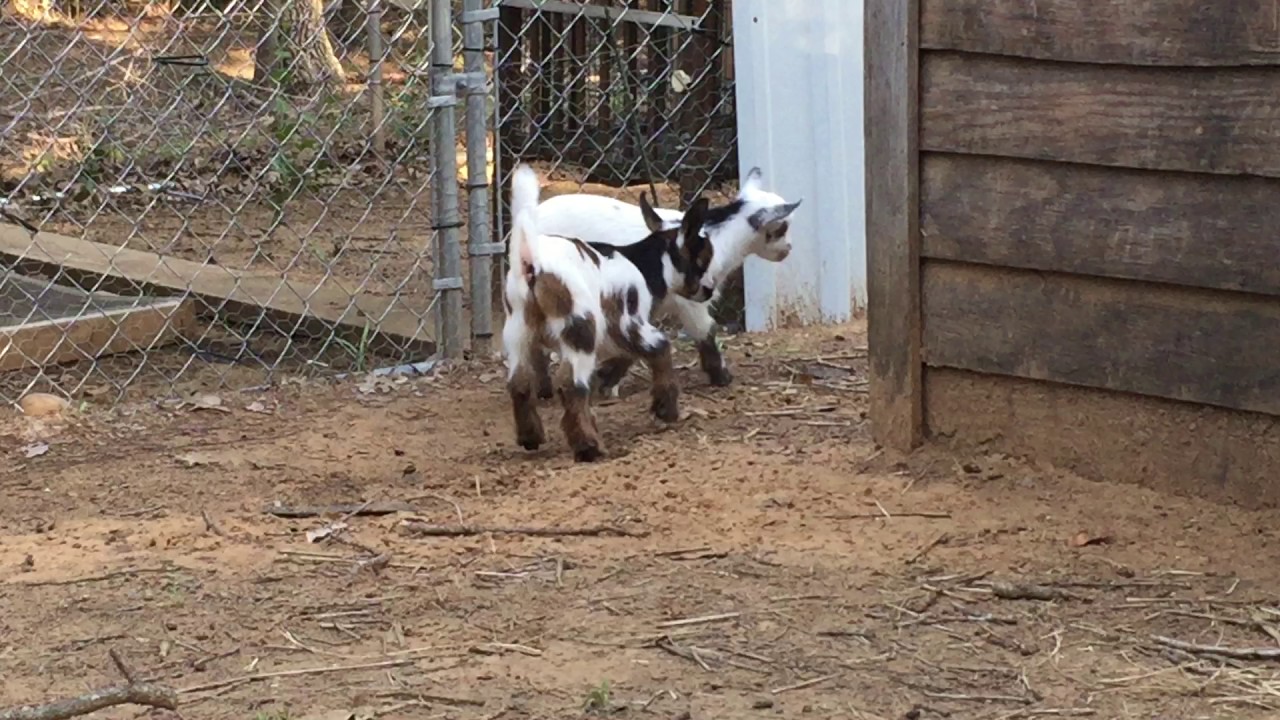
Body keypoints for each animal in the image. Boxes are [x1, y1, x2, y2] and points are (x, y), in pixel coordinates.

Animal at [501, 163, 713, 462]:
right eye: (704, 258)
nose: (709, 290)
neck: (642, 262)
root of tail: (532, 264)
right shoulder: (629, 322)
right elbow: (660, 348)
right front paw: (666, 409)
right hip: (580, 328)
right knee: (572, 385)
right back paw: (588, 447)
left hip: (518, 332)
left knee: (519, 384)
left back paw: (531, 437)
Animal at [530, 167, 801, 397]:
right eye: (782, 228)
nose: (788, 249)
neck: (717, 238)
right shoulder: (690, 300)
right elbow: (706, 331)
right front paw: (721, 376)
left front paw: (608, 377)